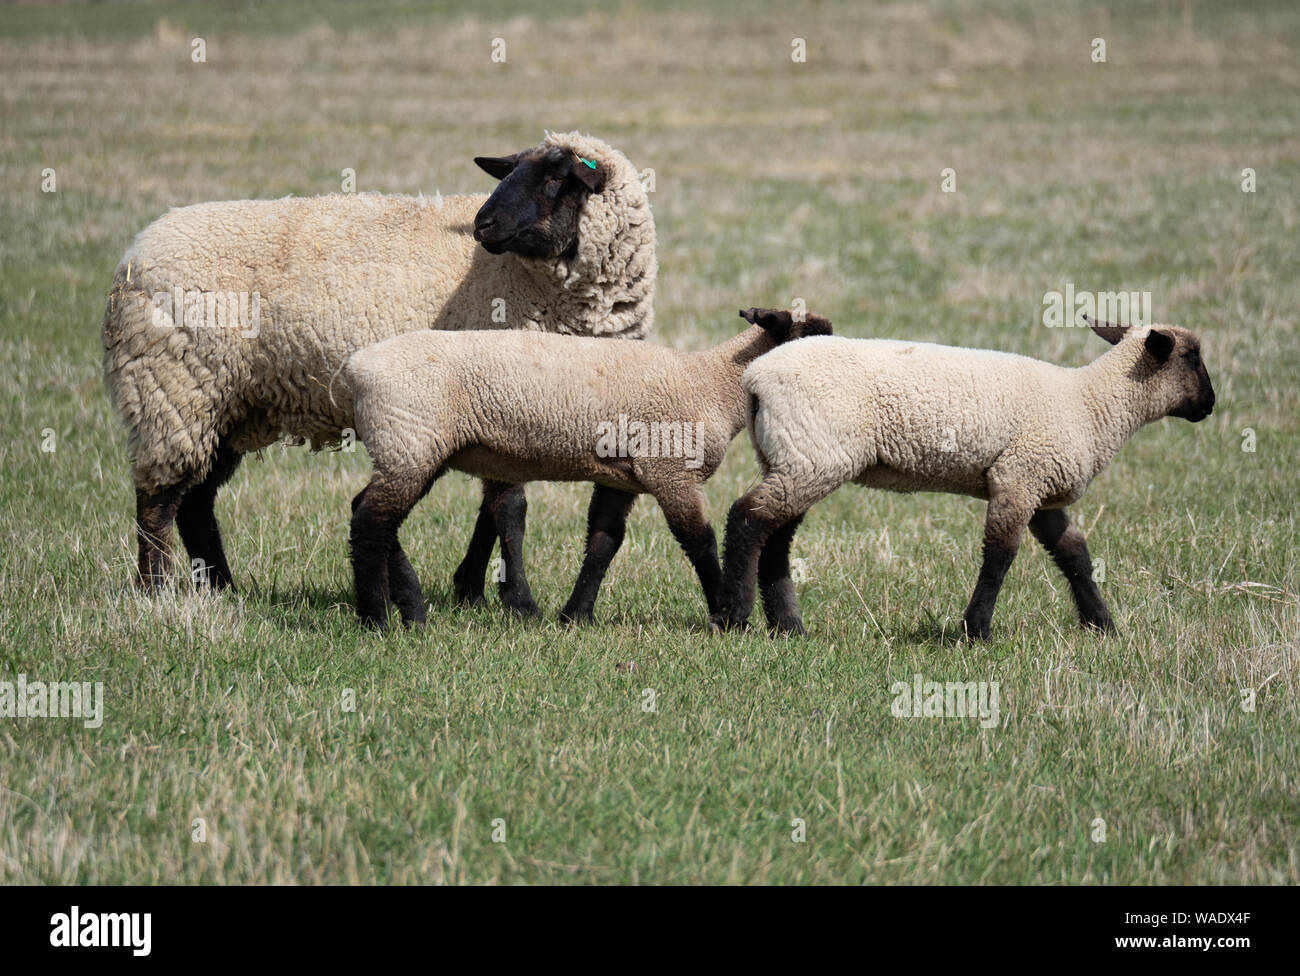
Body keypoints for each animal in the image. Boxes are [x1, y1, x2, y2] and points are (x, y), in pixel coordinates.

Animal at [101, 131, 655, 618]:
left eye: (556, 179)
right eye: (513, 171)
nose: (483, 224)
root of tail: (132, 257)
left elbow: (491, 511)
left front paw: (472, 590)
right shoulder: (498, 389)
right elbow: (510, 511)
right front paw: (518, 602)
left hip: (229, 405)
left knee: (195, 503)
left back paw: (222, 588)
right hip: (173, 391)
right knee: (157, 500)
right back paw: (155, 592)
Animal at [344, 307, 833, 628]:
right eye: (809, 338)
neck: (712, 383)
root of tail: (356, 366)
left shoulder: (623, 480)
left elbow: (603, 543)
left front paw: (576, 615)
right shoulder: (670, 472)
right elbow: (699, 540)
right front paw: (725, 613)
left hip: (411, 447)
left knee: (368, 512)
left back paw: (410, 610)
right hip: (410, 440)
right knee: (372, 520)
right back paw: (378, 619)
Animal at [709, 316, 1216, 638]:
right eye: (1192, 357)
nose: (1211, 405)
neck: (1090, 404)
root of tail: (755, 379)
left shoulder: (1041, 490)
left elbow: (1074, 553)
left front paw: (1102, 625)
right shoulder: (1018, 475)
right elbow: (1000, 555)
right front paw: (976, 630)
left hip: (794, 456)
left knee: (775, 535)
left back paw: (789, 627)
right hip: (813, 456)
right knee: (747, 517)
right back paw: (734, 616)